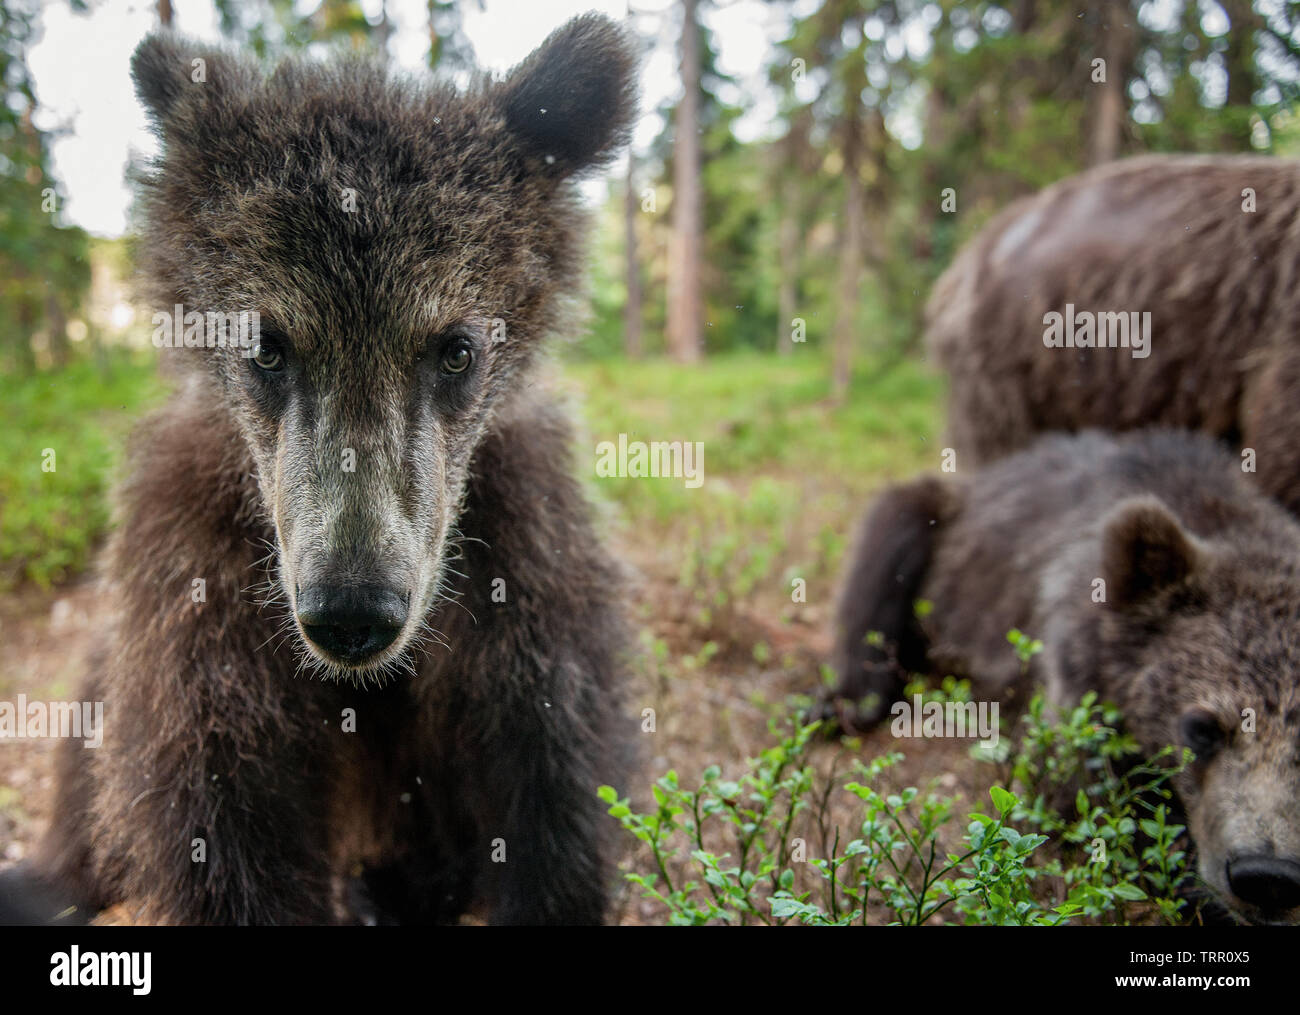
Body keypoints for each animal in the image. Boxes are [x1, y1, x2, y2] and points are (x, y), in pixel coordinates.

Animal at [0, 14, 638, 926]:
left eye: (455, 349)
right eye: (266, 344)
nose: (352, 610)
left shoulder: (518, 539)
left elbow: (552, 781)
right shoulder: (201, 560)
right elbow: (222, 814)